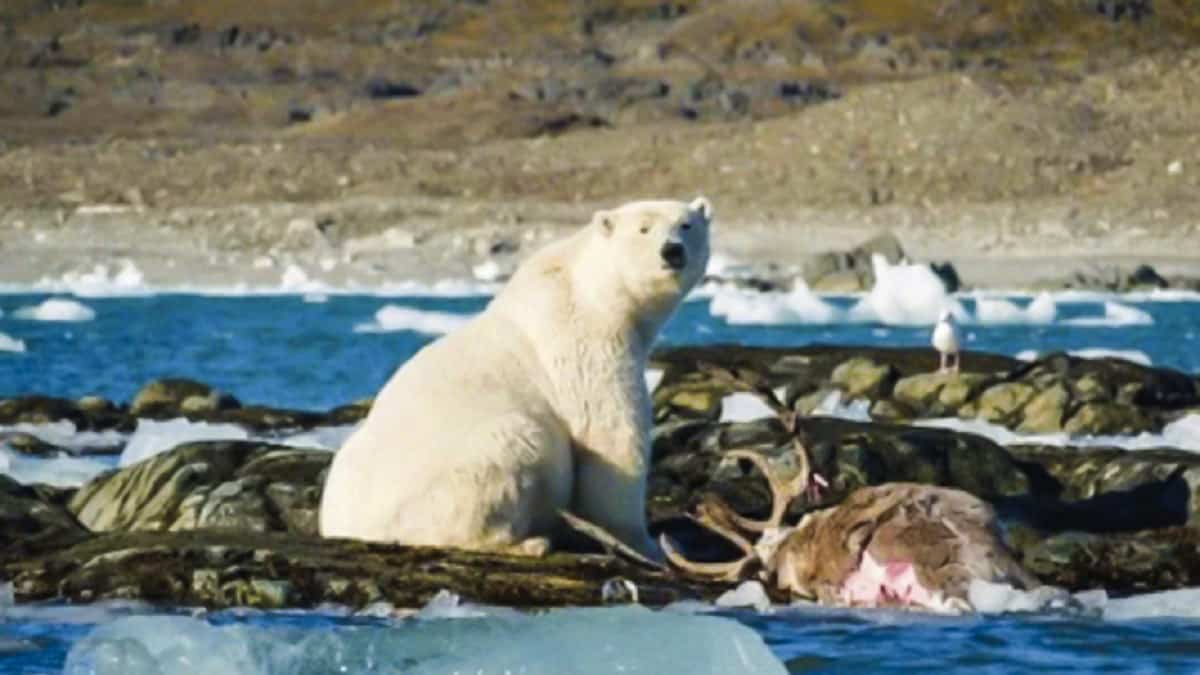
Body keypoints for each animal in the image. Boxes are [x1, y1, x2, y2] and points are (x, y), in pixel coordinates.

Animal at [319, 197, 713, 558]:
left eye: (686, 225)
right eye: (644, 228)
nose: (672, 251)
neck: (590, 290)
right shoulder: (584, 343)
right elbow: (611, 435)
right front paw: (648, 544)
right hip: (464, 466)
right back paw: (528, 542)